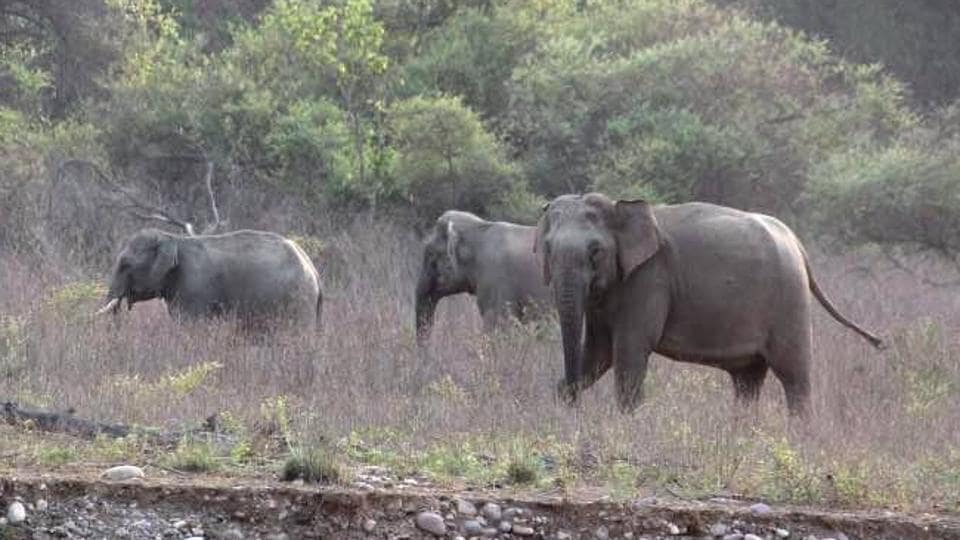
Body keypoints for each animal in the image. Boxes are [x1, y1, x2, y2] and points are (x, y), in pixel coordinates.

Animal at [534, 193, 883, 416]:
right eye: (547, 248)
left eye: (595, 251)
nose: (572, 405)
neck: (619, 205)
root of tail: (798, 244)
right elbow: (598, 353)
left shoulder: (648, 280)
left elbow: (629, 352)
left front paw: (626, 423)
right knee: (747, 381)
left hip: (790, 303)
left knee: (793, 376)